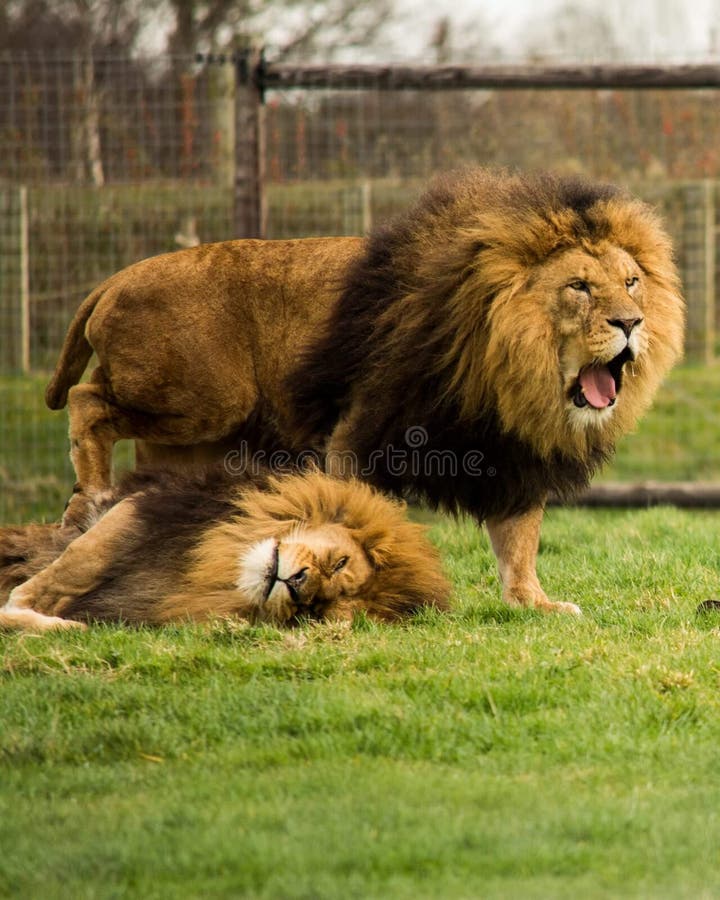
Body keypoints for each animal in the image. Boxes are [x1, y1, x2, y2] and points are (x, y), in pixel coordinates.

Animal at [44, 168, 685, 616]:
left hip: (192, 436)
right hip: (204, 401)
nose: (632, 323)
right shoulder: (363, 427)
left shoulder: (513, 454)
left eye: (632, 281)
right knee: (87, 401)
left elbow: (519, 541)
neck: (511, 368)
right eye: (579, 286)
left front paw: (535, 603)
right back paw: (87, 497)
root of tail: (117, 277)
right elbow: (354, 501)